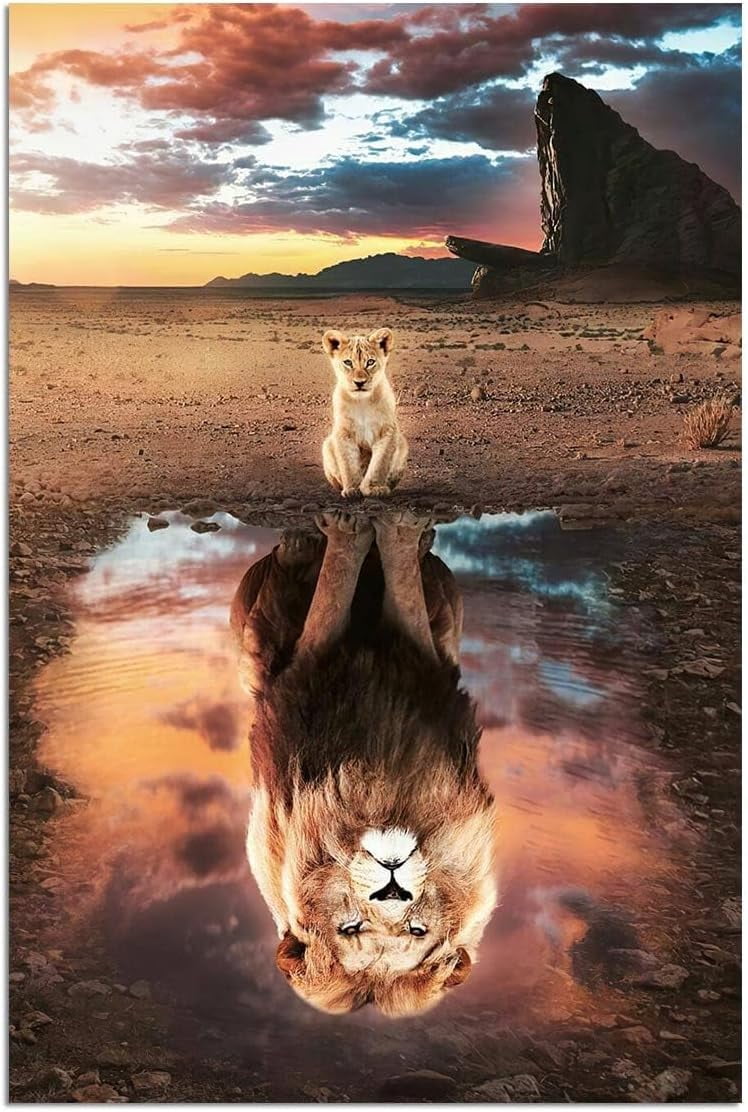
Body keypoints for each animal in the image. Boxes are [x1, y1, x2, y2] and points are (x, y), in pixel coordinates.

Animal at [230, 510, 497, 1016]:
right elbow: (335, 589)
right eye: (350, 928)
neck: (377, 795)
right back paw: (299, 546)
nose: (393, 883)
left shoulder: (424, 656)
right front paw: (352, 528)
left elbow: (399, 590)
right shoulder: (307, 664)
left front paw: (394, 530)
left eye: (416, 929)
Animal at [321, 328, 408, 498]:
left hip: (402, 443)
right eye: (348, 362)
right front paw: (352, 489)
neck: (362, 401)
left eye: (370, 362)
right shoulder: (343, 433)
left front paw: (375, 488)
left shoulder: (388, 431)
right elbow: (348, 464)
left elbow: (379, 463)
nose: (359, 383)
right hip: (327, 445)